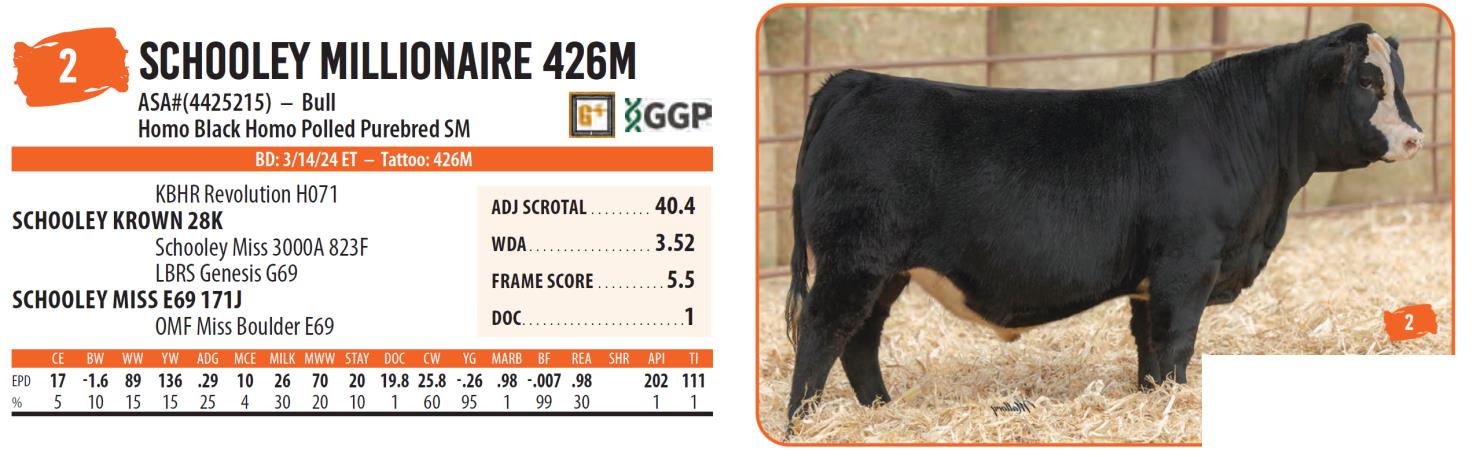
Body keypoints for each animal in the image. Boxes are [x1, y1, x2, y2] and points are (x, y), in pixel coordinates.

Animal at [783, 23, 1424, 429]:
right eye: (1367, 81)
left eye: (1398, 76)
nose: (1416, 137)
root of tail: (856, 80)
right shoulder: (1187, 266)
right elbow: (1176, 342)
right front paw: (1172, 404)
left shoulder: (1152, 280)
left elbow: (1149, 347)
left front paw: (1151, 399)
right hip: (854, 258)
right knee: (822, 329)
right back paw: (801, 421)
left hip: (884, 268)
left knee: (860, 338)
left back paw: (880, 410)